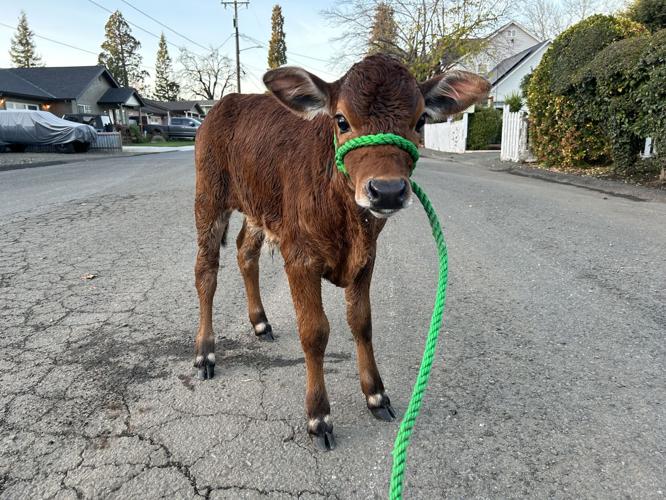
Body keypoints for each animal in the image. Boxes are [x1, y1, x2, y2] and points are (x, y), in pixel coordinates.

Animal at [193, 54, 489, 450]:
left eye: (420, 121)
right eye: (342, 120)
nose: (387, 190)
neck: (348, 221)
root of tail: (227, 102)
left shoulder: (367, 258)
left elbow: (362, 323)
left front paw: (375, 394)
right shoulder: (299, 257)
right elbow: (314, 332)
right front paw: (319, 415)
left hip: (258, 207)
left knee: (245, 253)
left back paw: (260, 322)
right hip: (209, 198)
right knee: (206, 272)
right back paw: (205, 351)